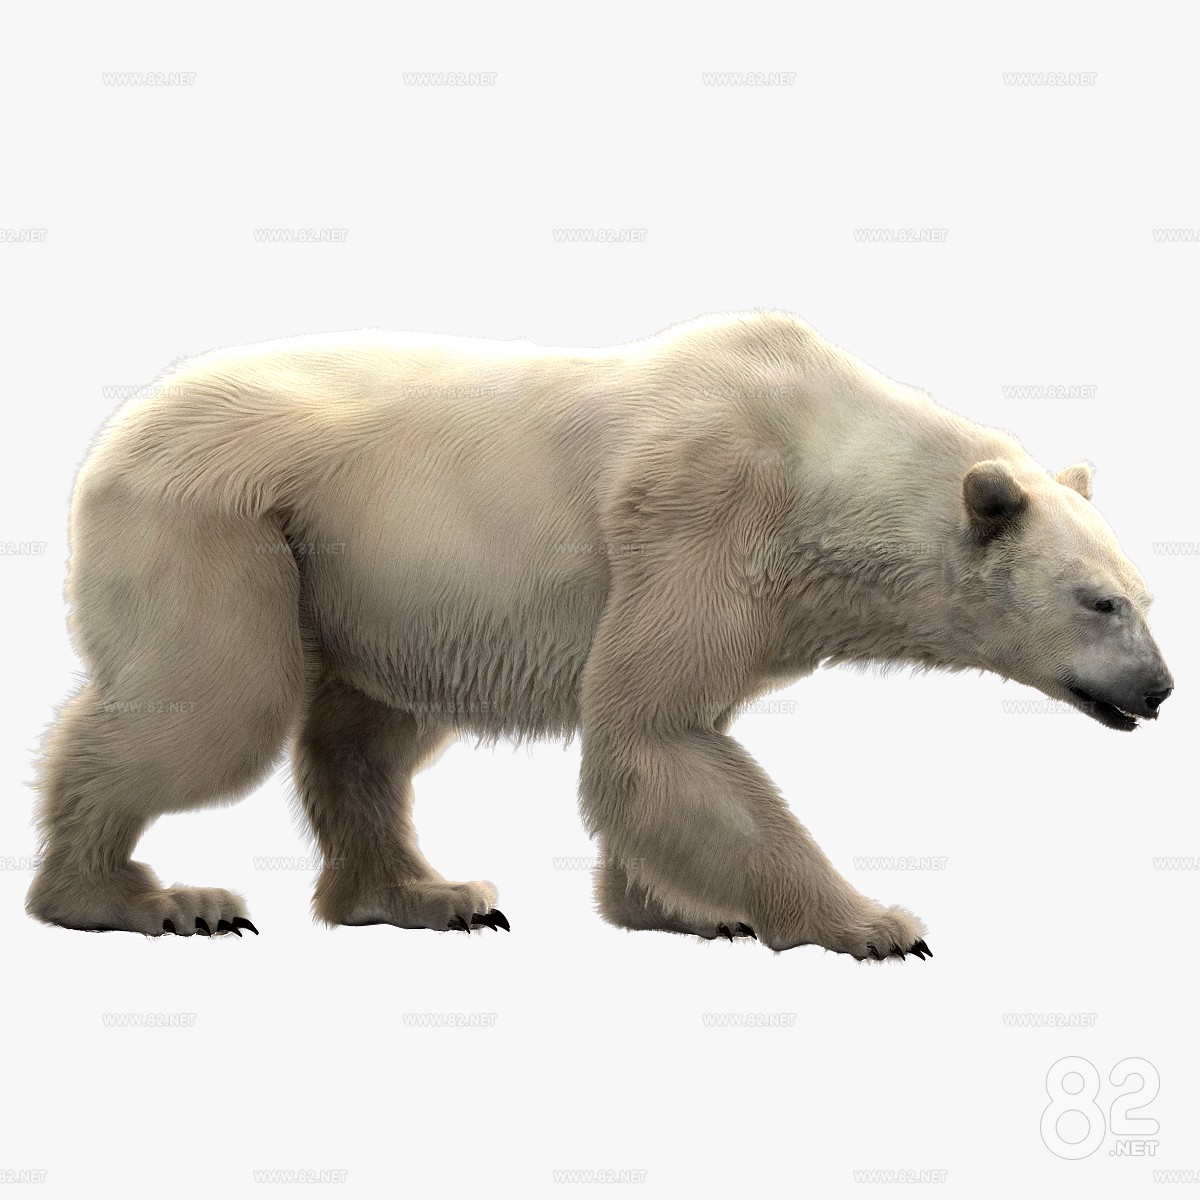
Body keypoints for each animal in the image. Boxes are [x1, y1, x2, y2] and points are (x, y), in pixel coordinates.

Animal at [26, 310, 1173, 958]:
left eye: (1146, 595)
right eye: (1098, 602)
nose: (1158, 690)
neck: (824, 470)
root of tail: (123, 422)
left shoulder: (755, 593)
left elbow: (668, 739)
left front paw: (687, 910)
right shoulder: (702, 512)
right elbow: (654, 733)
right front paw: (876, 925)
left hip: (356, 578)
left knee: (369, 734)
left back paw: (427, 894)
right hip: (221, 522)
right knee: (214, 708)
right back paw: (141, 898)